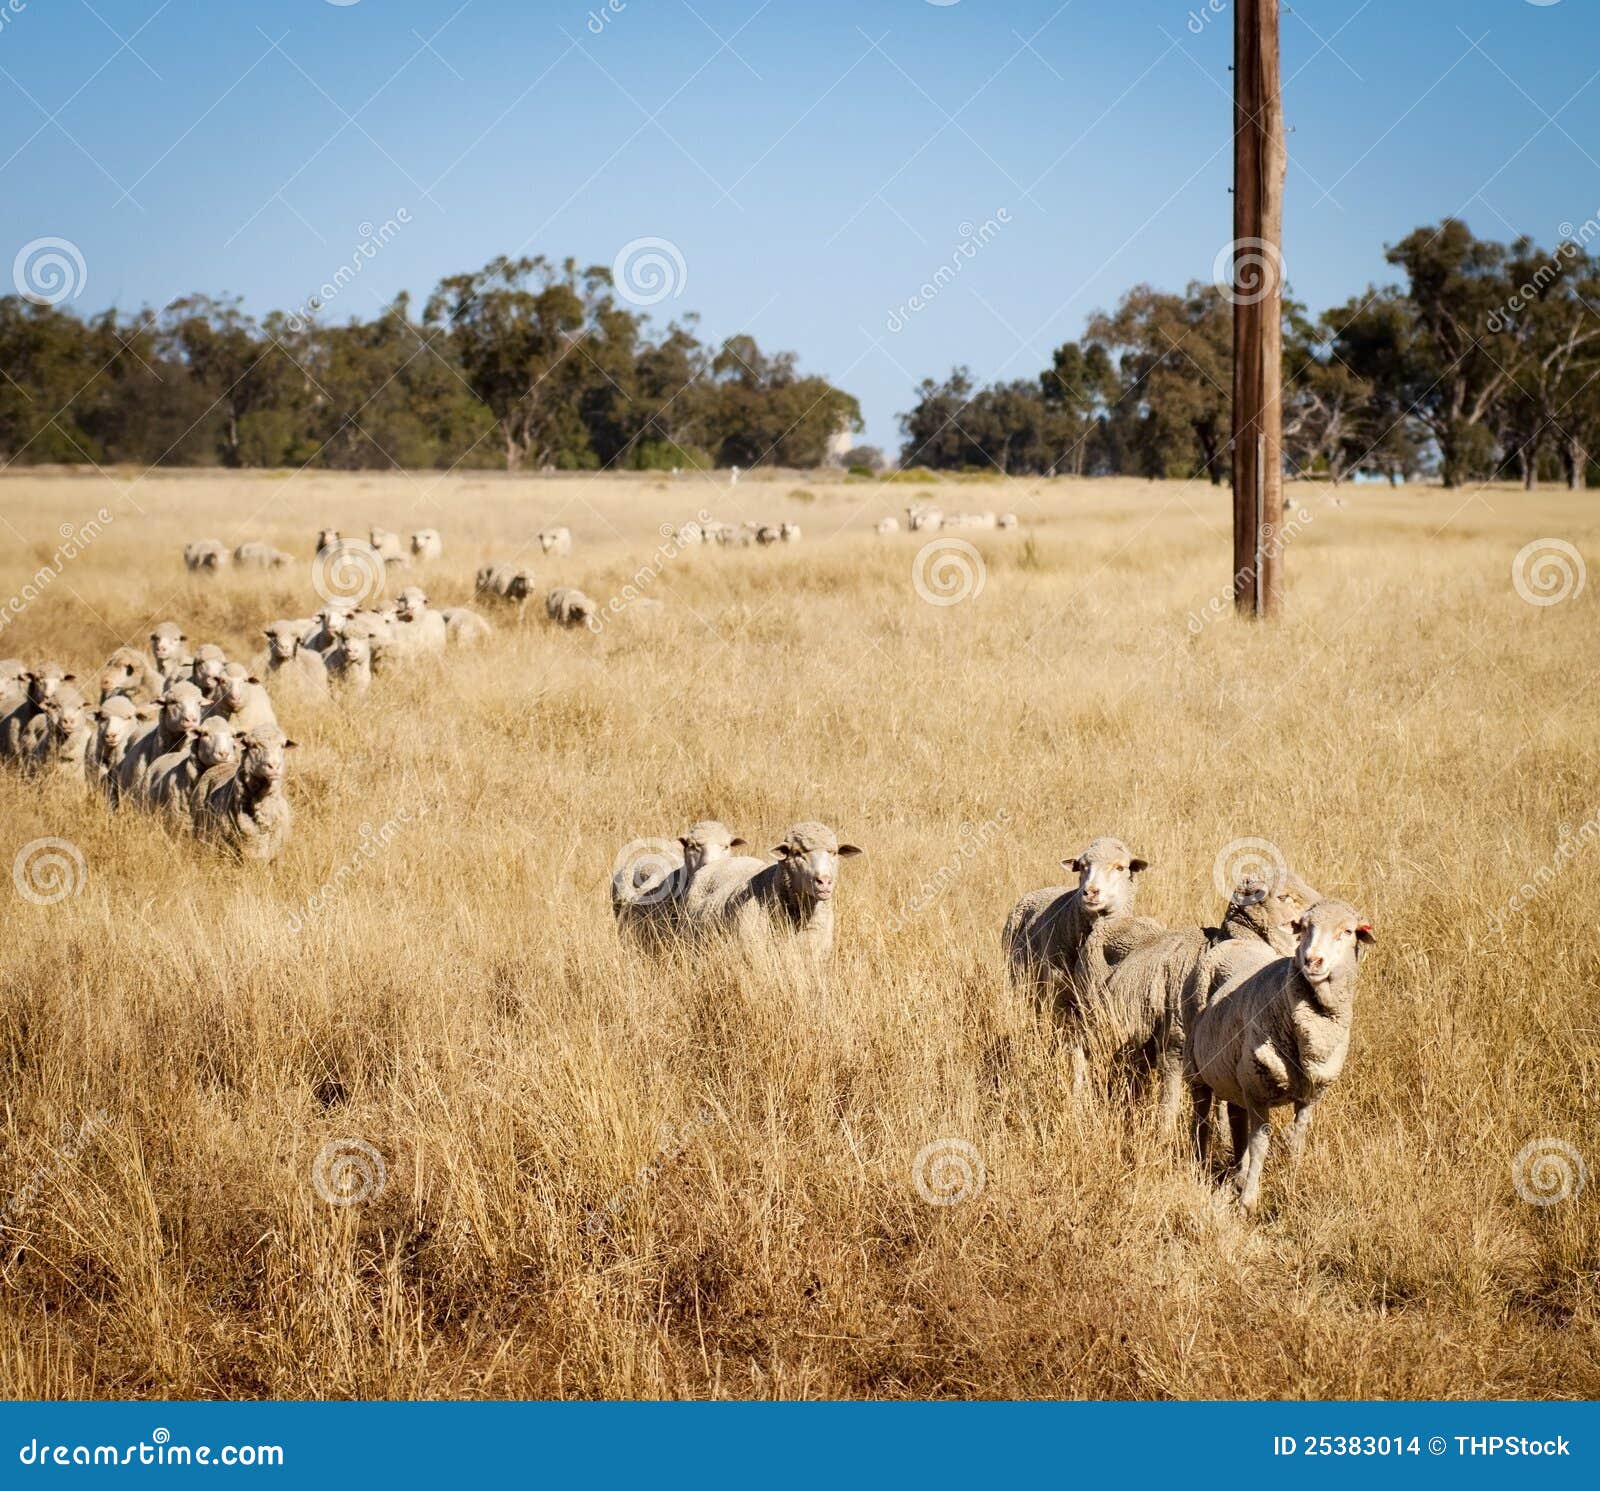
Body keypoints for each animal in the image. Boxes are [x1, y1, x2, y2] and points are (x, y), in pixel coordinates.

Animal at [1186, 900, 1375, 1212]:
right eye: (1304, 927)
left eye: (1348, 931)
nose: (1312, 961)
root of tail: (1233, 941)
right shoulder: (1258, 1091)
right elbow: (1260, 1144)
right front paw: (1248, 1201)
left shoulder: (1311, 1095)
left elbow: (1296, 1140)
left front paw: (1293, 1180)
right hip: (1198, 1063)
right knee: (1202, 1114)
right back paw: (1201, 1161)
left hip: (1237, 1074)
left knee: (1237, 1118)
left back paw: (1238, 1172)